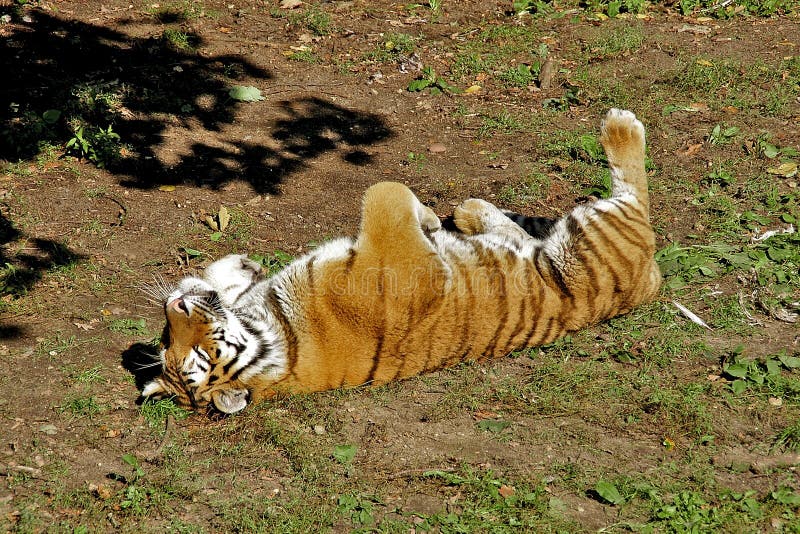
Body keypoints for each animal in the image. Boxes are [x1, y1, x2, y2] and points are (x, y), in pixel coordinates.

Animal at [141, 109, 661, 414]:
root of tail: (651, 284)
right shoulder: (408, 261)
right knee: (636, 193)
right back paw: (620, 125)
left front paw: (228, 271)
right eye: (200, 355)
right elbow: (384, 191)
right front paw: (424, 215)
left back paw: (467, 213)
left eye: (173, 339)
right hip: (595, 236)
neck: (275, 338)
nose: (177, 309)